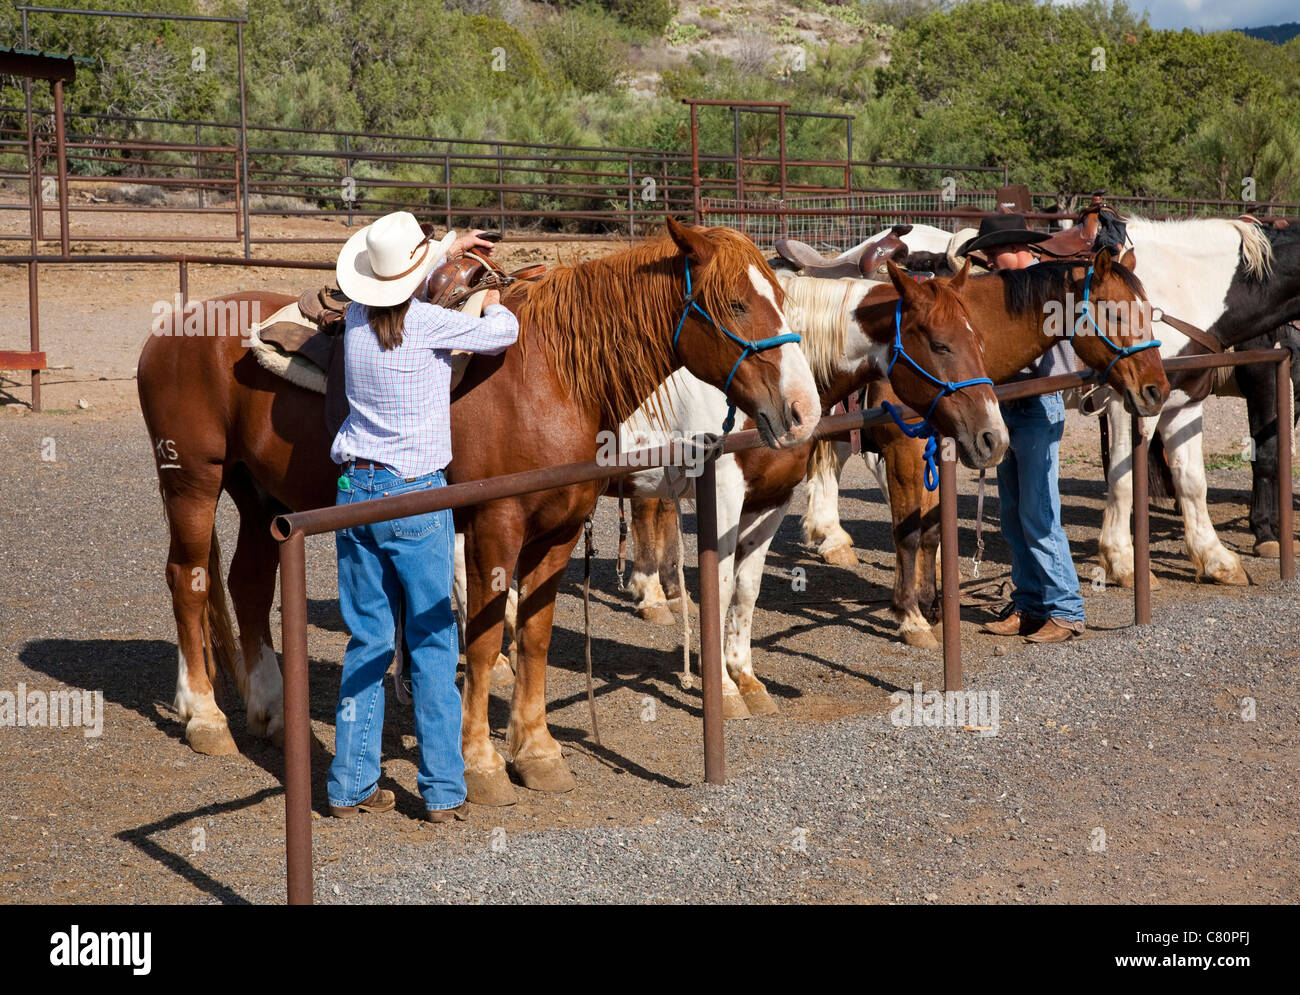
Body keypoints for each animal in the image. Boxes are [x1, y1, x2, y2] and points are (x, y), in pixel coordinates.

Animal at [137, 220, 824, 808]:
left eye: (778, 299)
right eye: (735, 304)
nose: (802, 410)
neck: (550, 374)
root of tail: (173, 330)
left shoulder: (558, 531)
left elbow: (536, 637)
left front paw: (537, 753)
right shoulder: (496, 526)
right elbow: (489, 638)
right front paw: (483, 764)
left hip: (262, 500)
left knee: (248, 588)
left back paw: (272, 712)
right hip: (193, 482)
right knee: (188, 582)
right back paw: (205, 717)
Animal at [800, 249, 1171, 646]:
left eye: (1149, 312)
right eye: (1115, 314)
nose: (1157, 390)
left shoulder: (935, 447)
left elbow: (931, 531)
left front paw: (930, 605)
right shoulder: (904, 452)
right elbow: (908, 533)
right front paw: (910, 617)